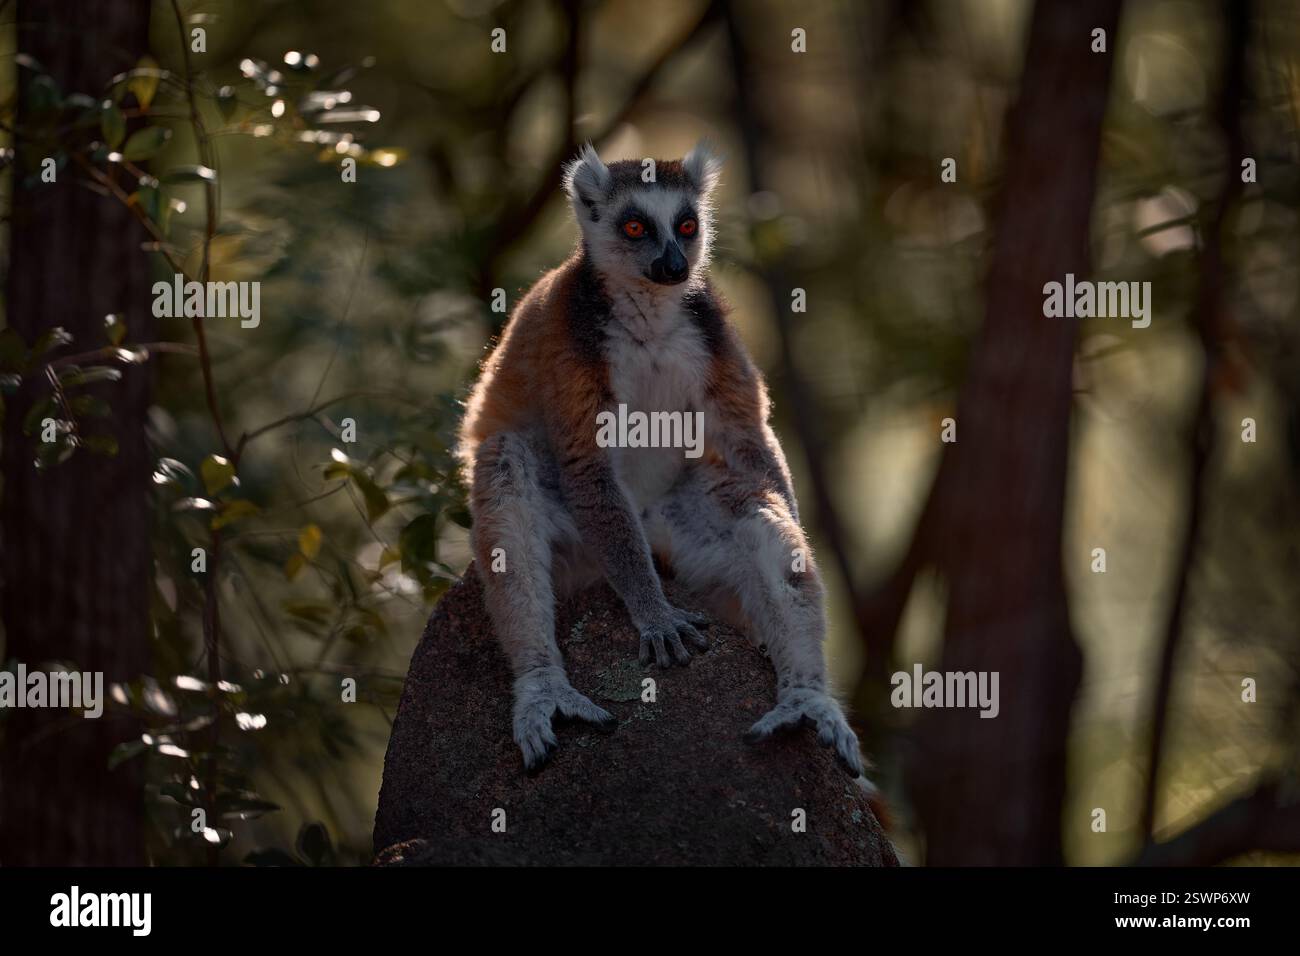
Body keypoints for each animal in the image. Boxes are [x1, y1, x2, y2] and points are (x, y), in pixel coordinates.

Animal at [456, 140, 865, 778]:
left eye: (686, 225)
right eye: (635, 226)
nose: (675, 265)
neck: (647, 312)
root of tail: (648, 534)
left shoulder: (711, 328)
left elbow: (748, 438)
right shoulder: (568, 340)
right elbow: (585, 463)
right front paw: (655, 616)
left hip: (682, 534)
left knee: (752, 510)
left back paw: (806, 697)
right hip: (583, 543)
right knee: (507, 465)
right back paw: (544, 683)